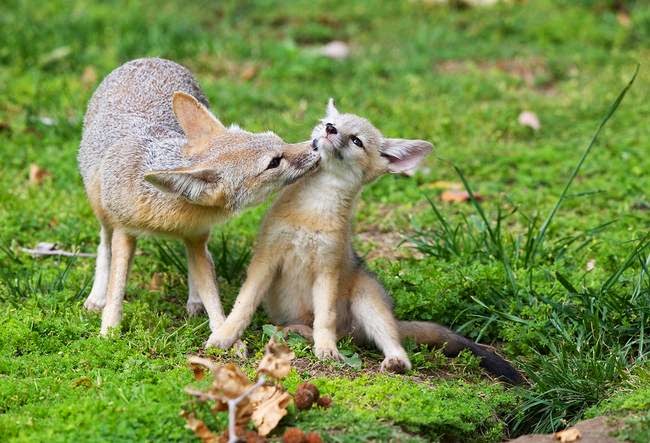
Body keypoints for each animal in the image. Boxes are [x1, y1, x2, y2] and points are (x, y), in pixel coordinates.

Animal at [77, 58, 320, 342]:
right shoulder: (125, 232)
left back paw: (194, 300)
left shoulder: (196, 235)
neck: (168, 213)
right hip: (104, 215)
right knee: (104, 247)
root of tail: (149, 59)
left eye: (279, 139)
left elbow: (211, 292)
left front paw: (225, 335)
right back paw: (97, 297)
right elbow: (117, 284)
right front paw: (109, 329)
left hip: (195, 240)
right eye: (274, 162)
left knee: (204, 261)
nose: (316, 144)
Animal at [207, 99, 524, 384]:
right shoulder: (266, 259)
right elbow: (242, 306)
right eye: (329, 124)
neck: (312, 212)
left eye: (357, 140)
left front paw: (326, 349)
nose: (330, 129)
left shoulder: (327, 269)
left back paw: (389, 359)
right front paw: (224, 336)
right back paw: (296, 332)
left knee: (387, 343)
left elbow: (325, 318)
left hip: (367, 303)